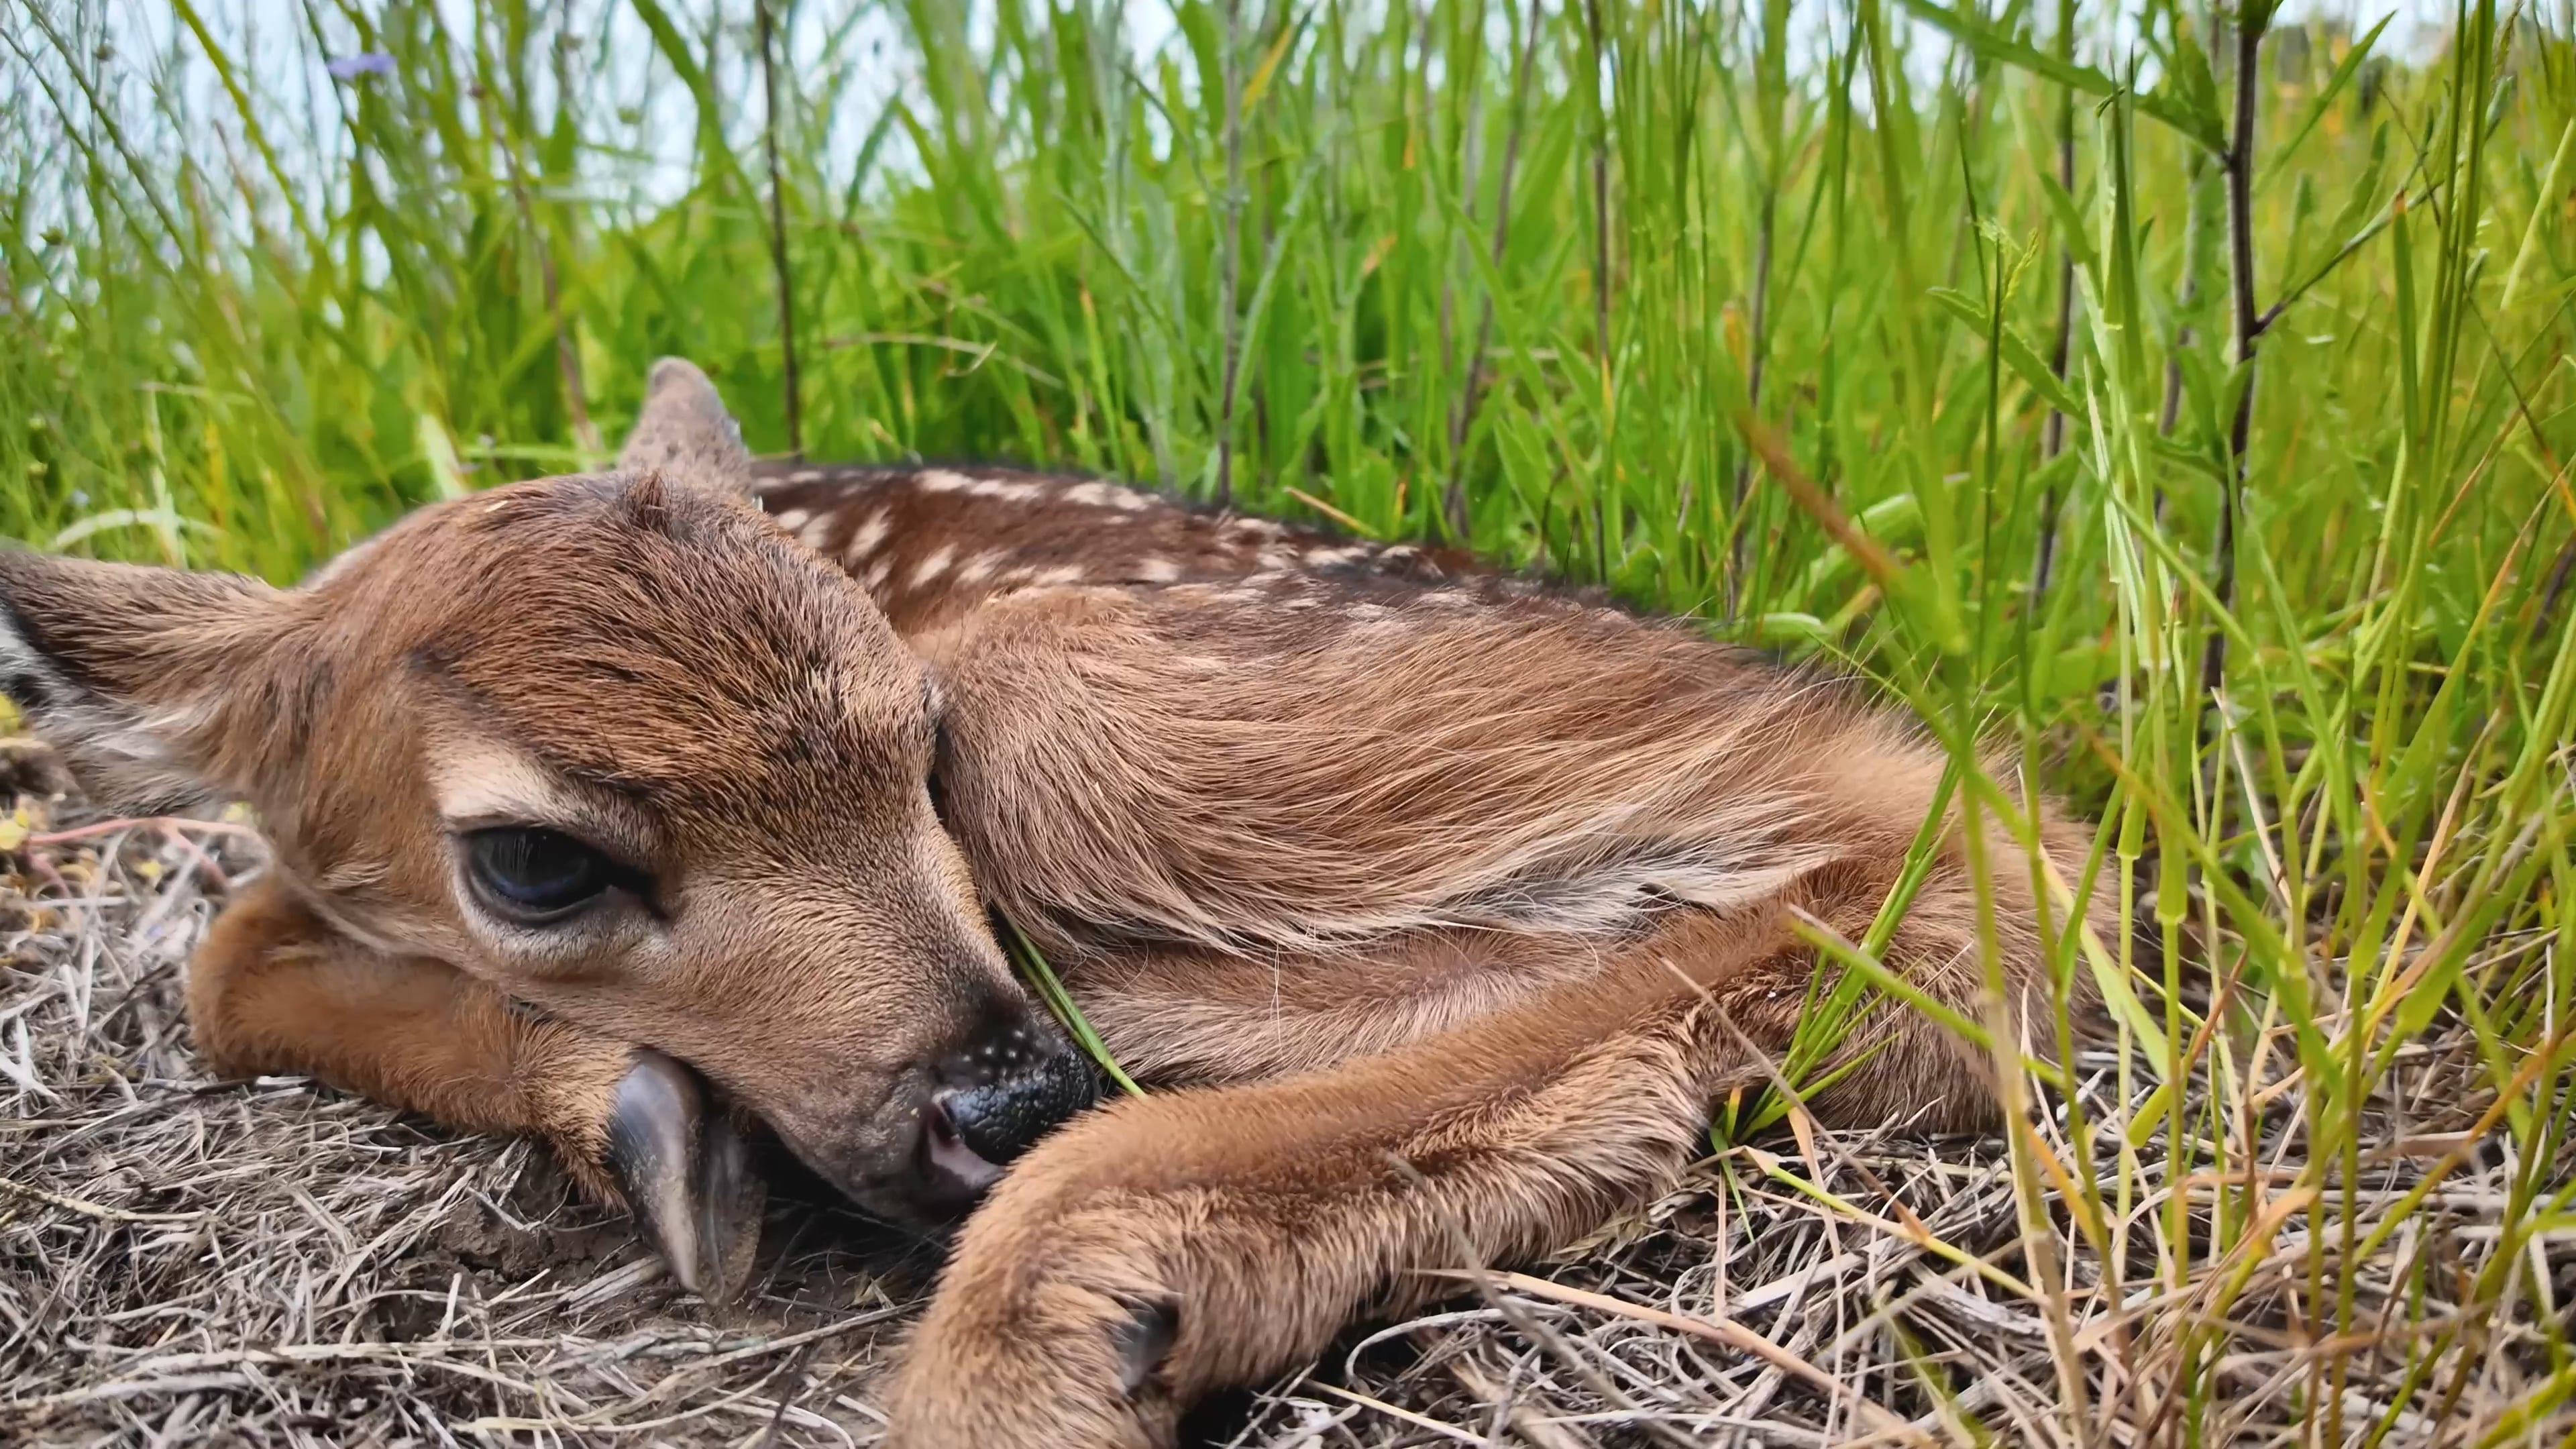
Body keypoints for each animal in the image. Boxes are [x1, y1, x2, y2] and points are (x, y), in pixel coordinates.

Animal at [0, 359, 2111, 1447]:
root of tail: (1836, 705)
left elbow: (222, 951)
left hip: (1069, 683)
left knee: (1926, 882)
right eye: (532, 860)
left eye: (909, 748)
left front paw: (668, 1122)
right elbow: (222, 955)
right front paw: (630, 1102)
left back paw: (1061, 1292)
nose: (1001, 1097)